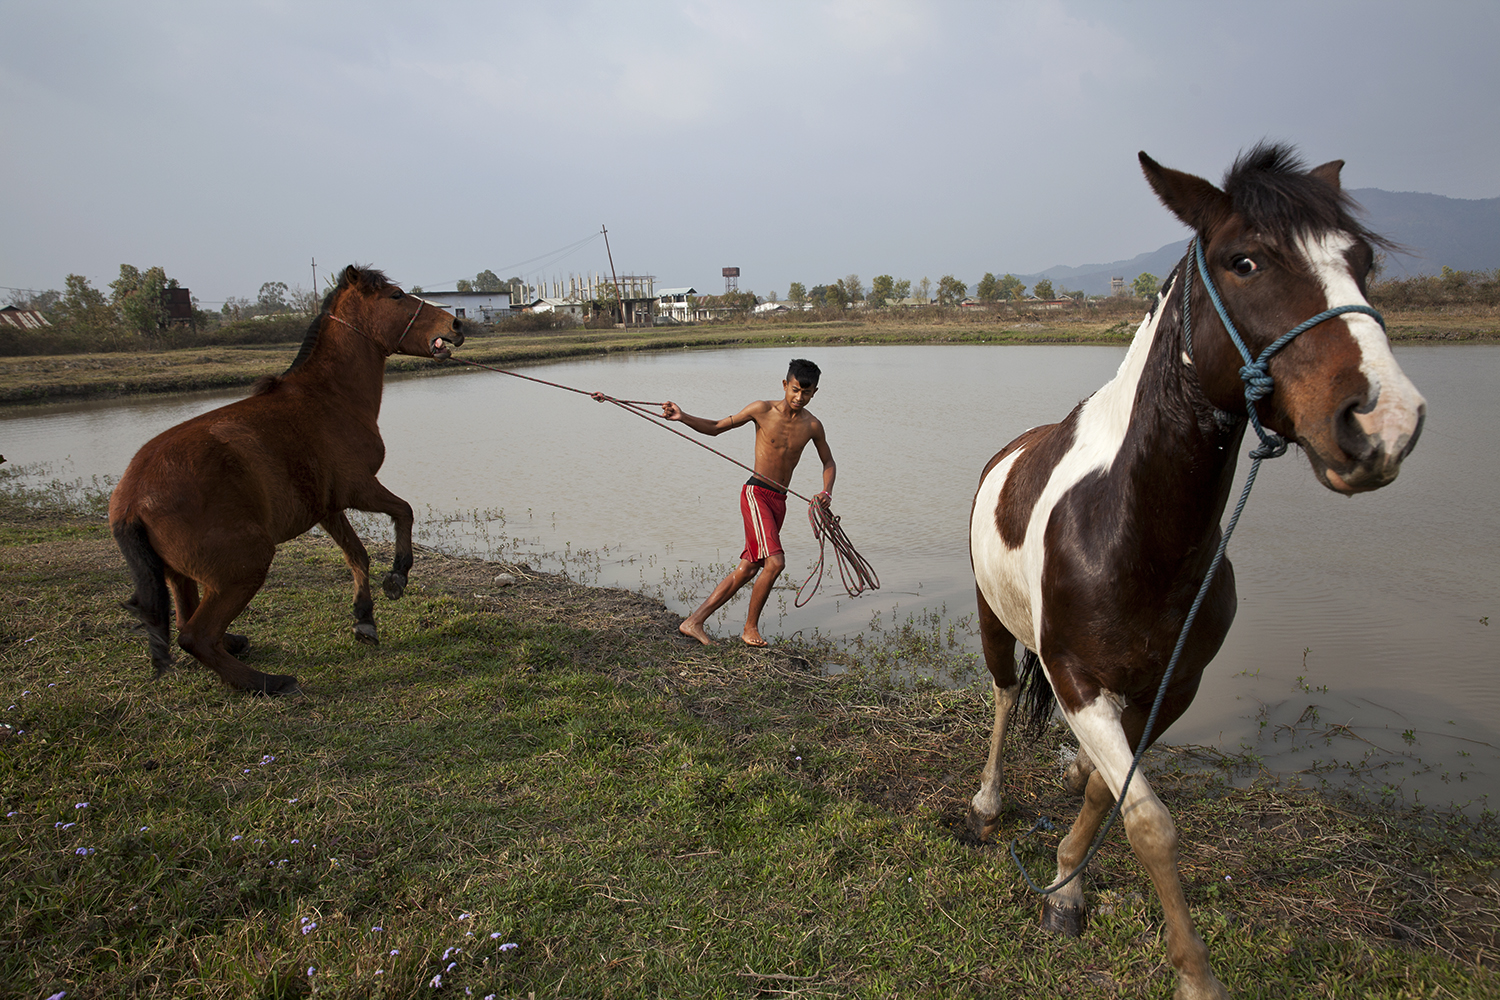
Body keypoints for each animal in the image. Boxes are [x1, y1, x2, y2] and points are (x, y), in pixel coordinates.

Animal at [109, 265, 465, 696]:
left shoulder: (328, 506)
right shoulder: (359, 488)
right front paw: (396, 578)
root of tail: (129, 500)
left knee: (186, 618)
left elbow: (357, 555)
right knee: (195, 636)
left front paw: (364, 618)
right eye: (396, 296)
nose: (456, 325)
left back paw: (237, 646)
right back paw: (266, 682)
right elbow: (405, 512)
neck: (329, 397)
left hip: (180, 574)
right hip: (245, 566)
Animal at [966, 144, 1425, 999]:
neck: (1133, 531)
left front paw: (1068, 883)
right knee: (1006, 699)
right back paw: (985, 801)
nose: (1385, 422)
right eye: (1245, 261)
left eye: (1361, 261)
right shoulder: (1074, 675)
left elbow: (1104, 792)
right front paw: (1189, 971)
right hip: (993, 622)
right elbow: (1148, 820)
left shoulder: (1172, 685)